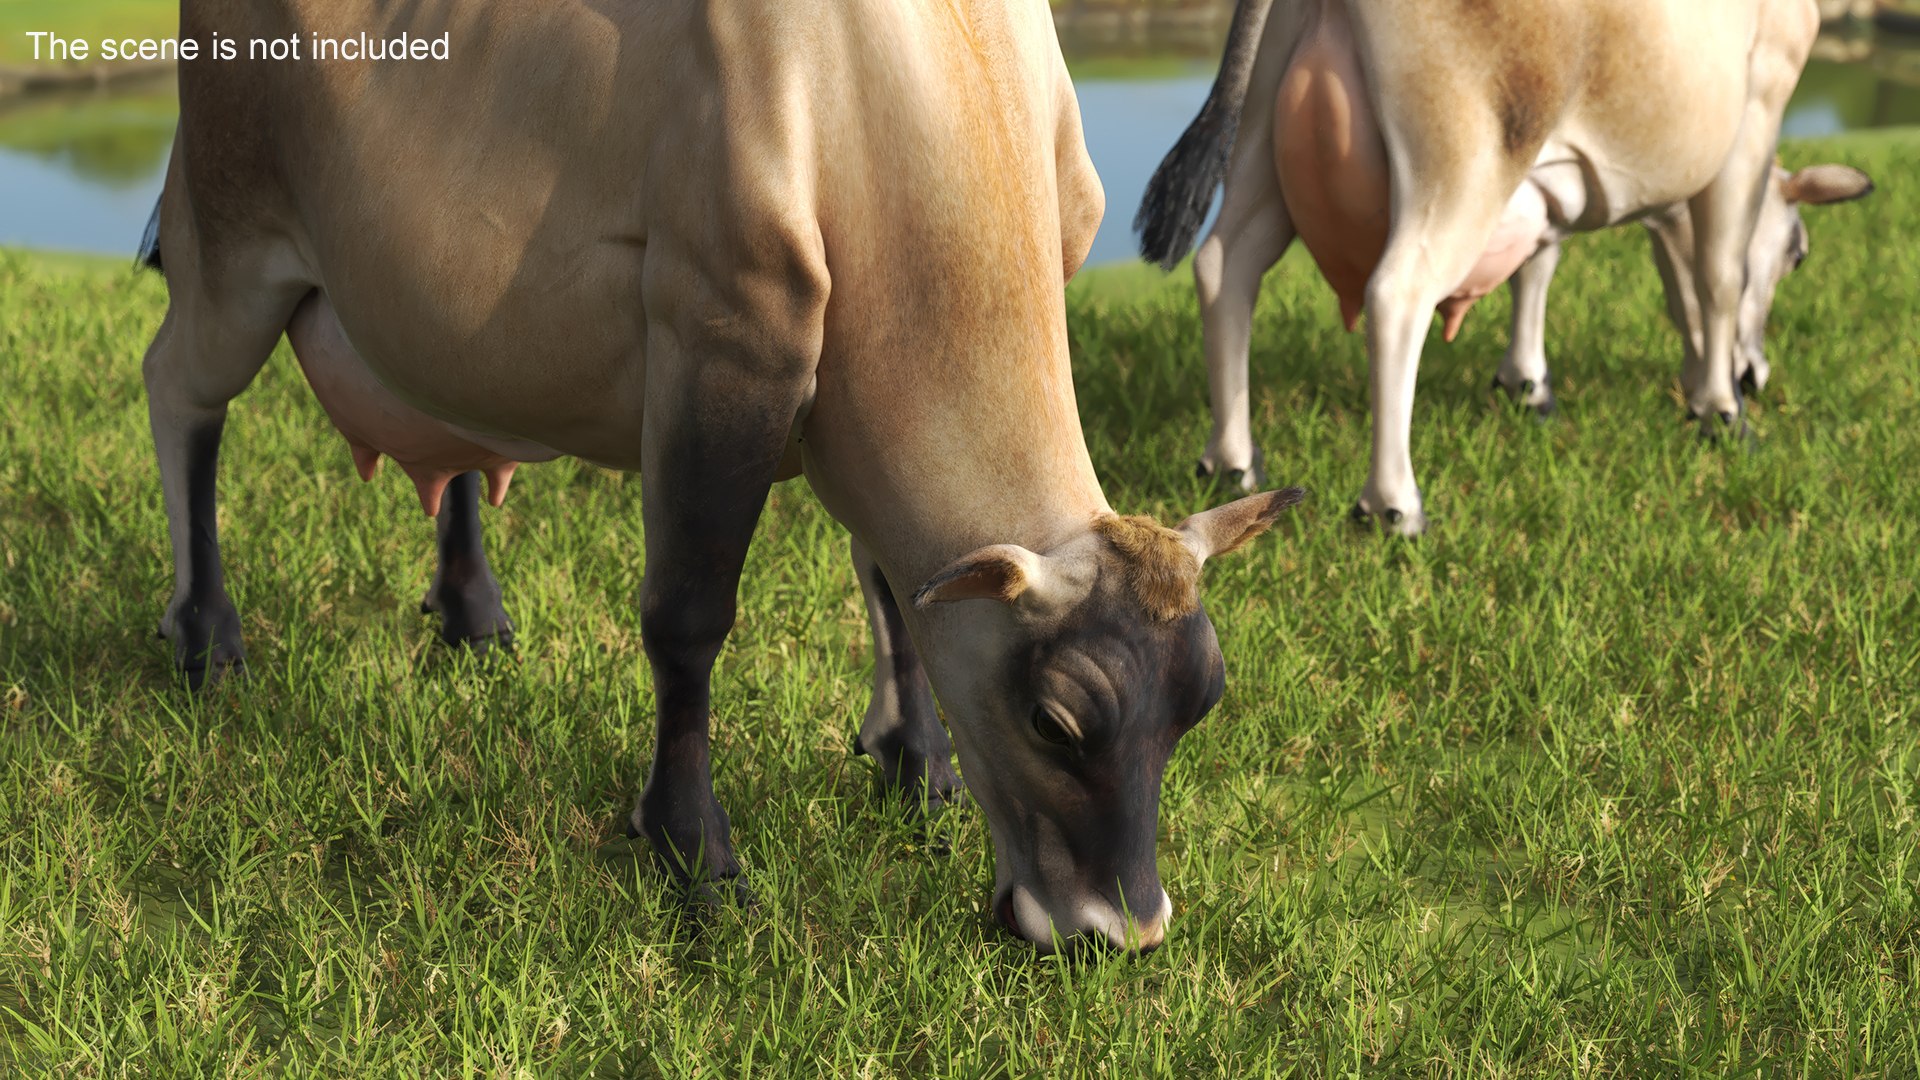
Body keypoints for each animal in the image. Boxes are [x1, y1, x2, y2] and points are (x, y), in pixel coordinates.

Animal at [139, 0, 1305, 954]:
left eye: (1201, 703)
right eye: (1055, 722)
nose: (1125, 933)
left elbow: (895, 584)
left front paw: (913, 762)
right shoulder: (731, 336)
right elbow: (688, 621)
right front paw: (692, 852)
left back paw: (471, 609)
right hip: (231, 233)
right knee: (178, 389)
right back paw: (205, 637)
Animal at [1136, 0, 1833, 535]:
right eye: (1798, 254)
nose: (1755, 375)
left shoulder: (1562, 182)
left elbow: (1546, 263)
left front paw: (1529, 385)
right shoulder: (1758, 103)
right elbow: (1721, 274)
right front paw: (1723, 412)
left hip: (1263, 142)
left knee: (1226, 265)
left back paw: (1232, 463)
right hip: (1464, 152)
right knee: (1397, 292)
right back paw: (1393, 507)